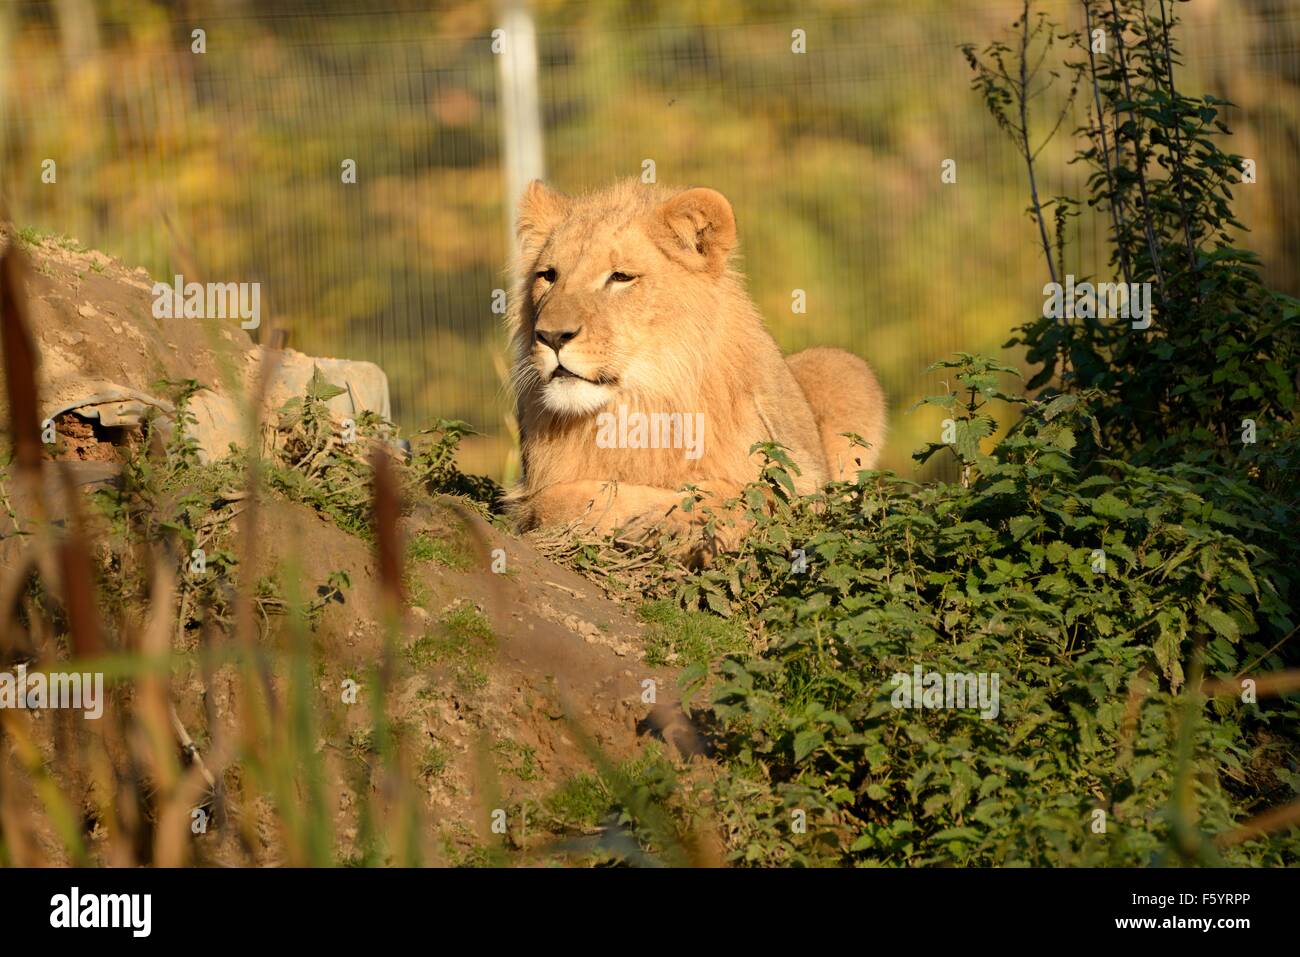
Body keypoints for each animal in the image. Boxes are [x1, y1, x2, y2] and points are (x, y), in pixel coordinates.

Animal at [506, 178, 887, 553]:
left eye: (621, 277)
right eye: (548, 275)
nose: (551, 336)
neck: (640, 408)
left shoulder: (804, 483)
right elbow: (555, 501)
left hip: (846, 366)